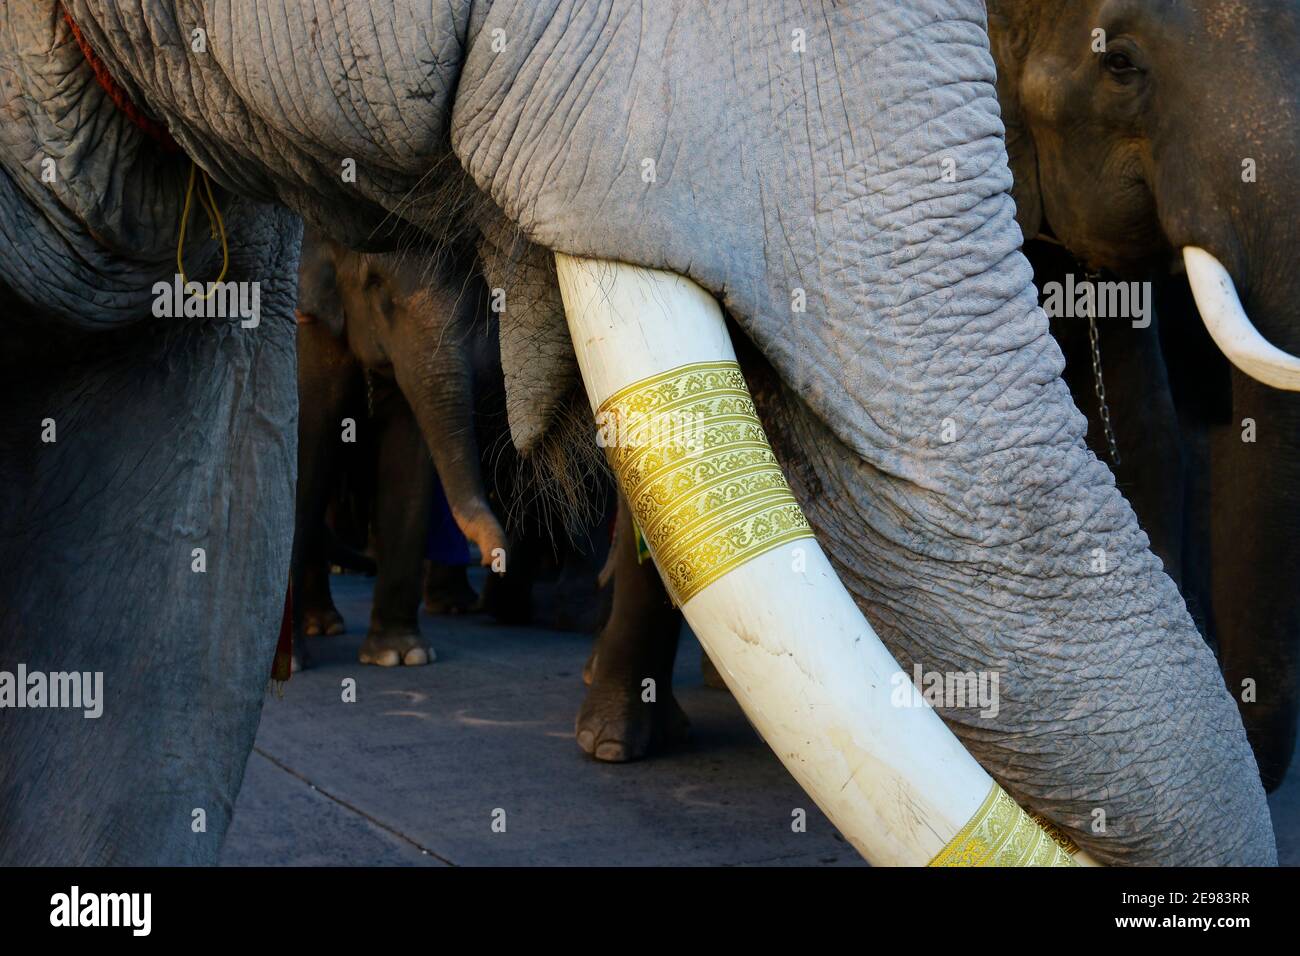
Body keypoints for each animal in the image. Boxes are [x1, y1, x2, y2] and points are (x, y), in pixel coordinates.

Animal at [292, 227, 507, 667]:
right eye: (375, 286)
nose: (495, 560)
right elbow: (307, 442)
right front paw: (289, 664)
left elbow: (407, 456)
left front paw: (401, 655)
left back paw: (323, 624)